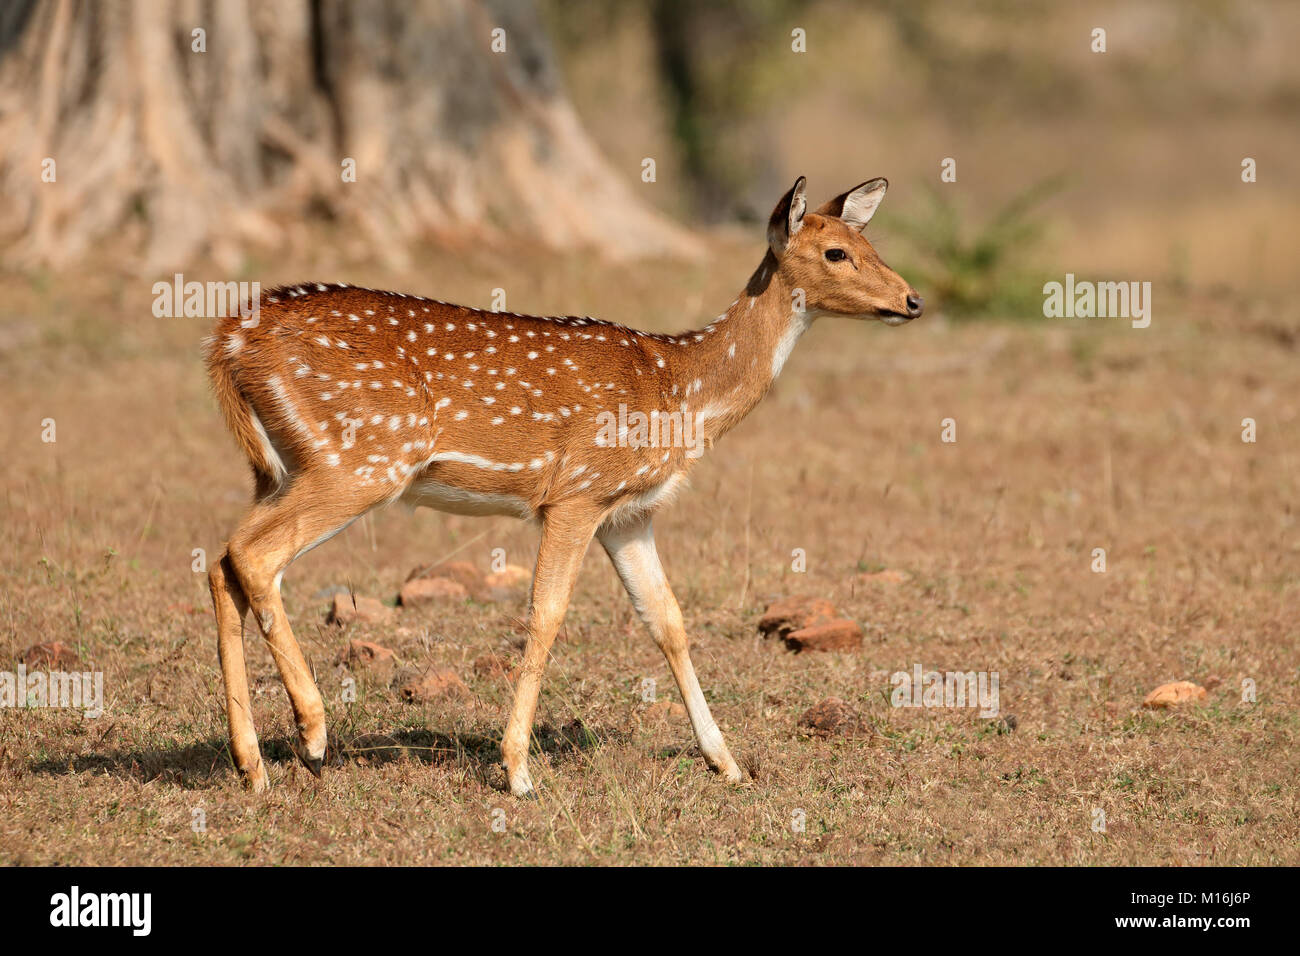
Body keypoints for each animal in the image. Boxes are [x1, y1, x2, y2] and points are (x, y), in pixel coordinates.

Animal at [204, 175, 922, 798]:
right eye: (835, 252)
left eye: (871, 245)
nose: (912, 300)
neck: (681, 392)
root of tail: (228, 343)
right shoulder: (577, 493)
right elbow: (546, 614)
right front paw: (518, 771)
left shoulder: (628, 512)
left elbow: (668, 620)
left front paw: (728, 762)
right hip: (362, 460)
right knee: (255, 557)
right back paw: (313, 735)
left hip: (282, 469)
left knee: (222, 560)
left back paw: (252, 766)